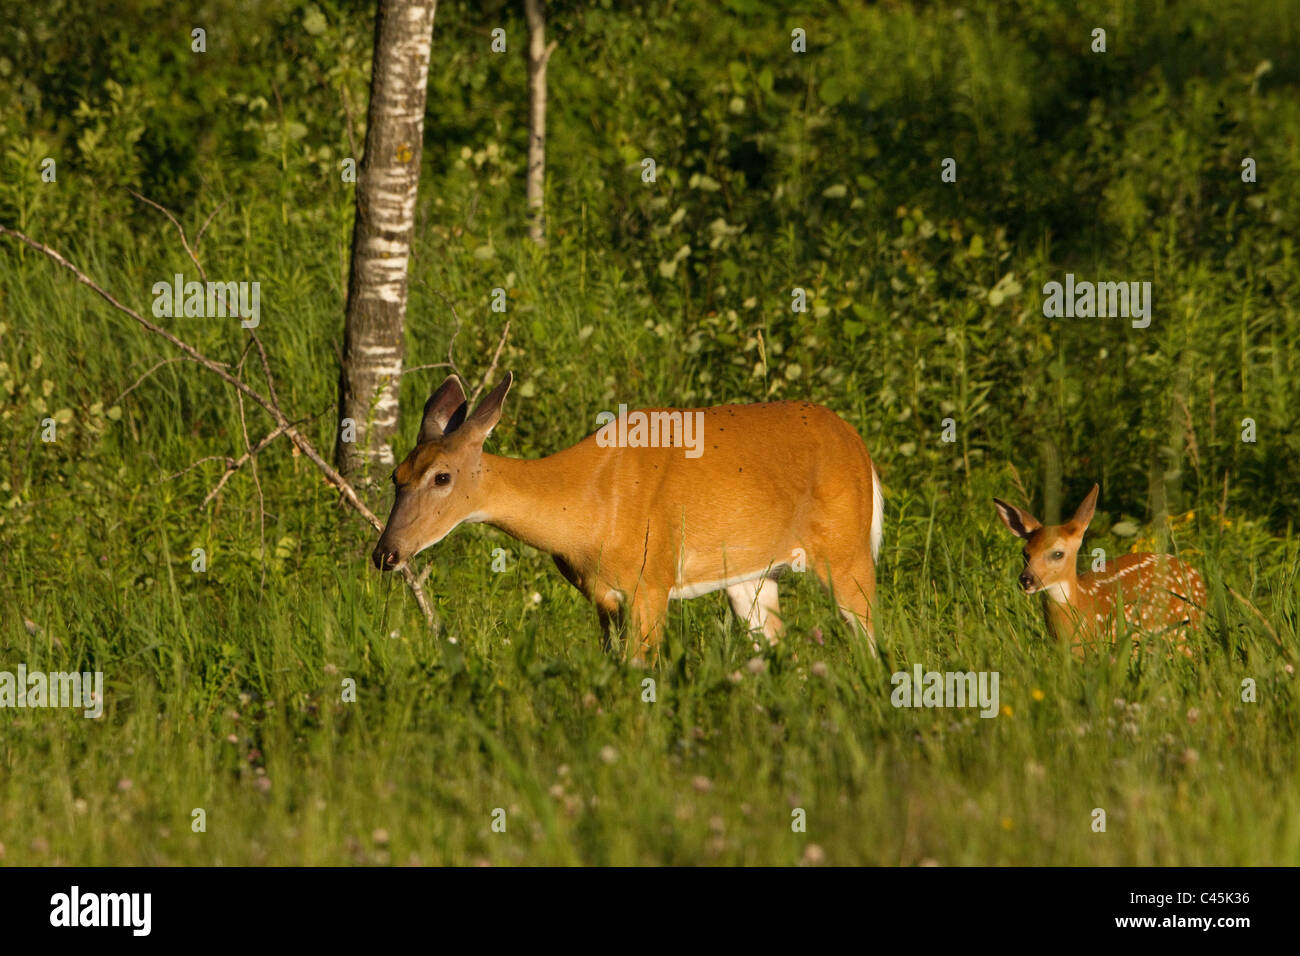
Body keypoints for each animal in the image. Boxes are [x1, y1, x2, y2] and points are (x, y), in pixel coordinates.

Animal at [372, 372, 883, 666]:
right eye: (396, 476)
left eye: (442, 476)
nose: (386, 553)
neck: (586, 508)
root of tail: (857, 443)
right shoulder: (601, 596)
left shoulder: (650, 581)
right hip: (750, 574)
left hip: (847, 548)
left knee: (870, 642)